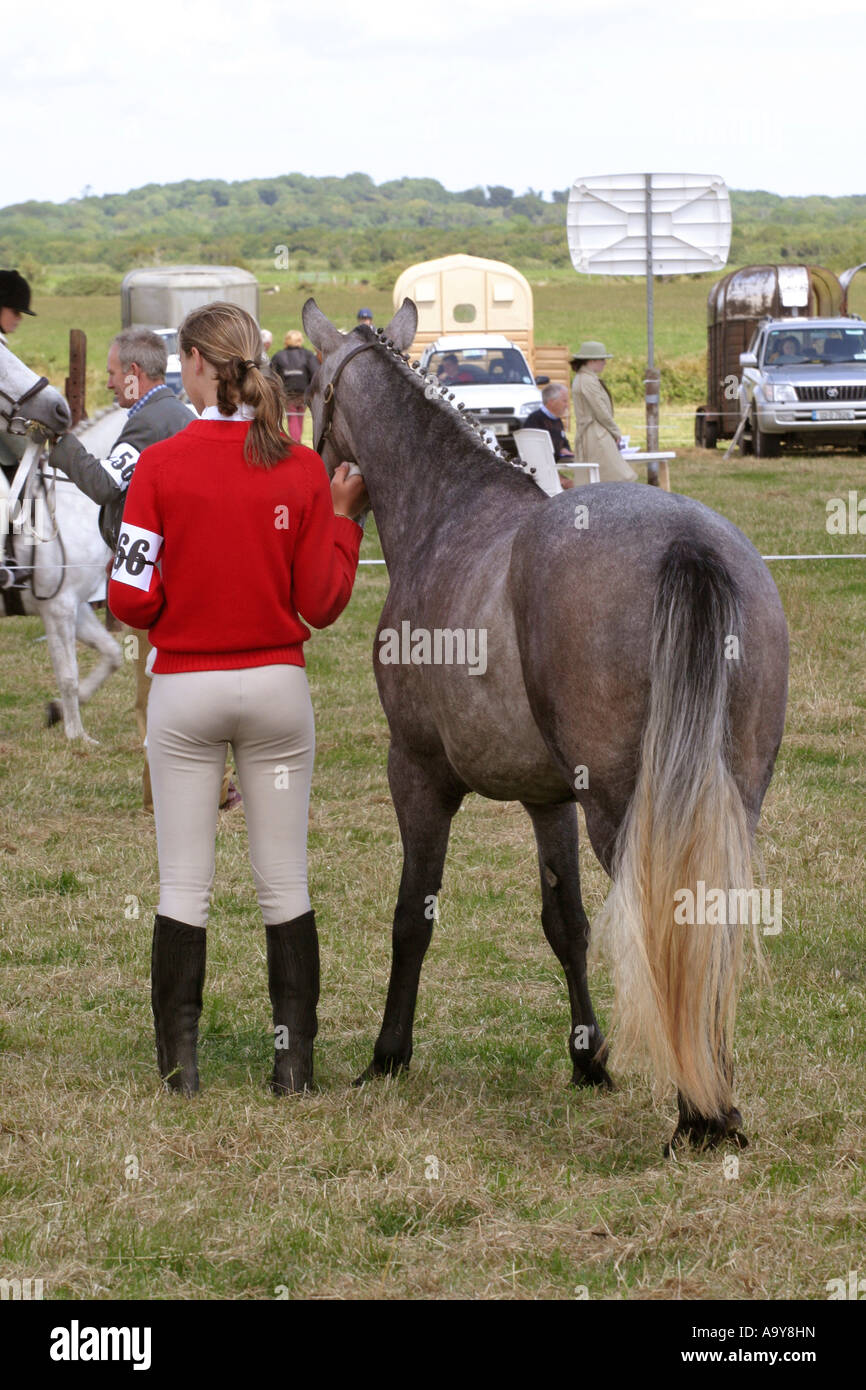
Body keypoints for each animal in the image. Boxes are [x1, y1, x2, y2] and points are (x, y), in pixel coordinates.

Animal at [0, 341, 122, 741]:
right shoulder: (58, 609)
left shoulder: (76, 604)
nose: (60, 409)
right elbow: (67, 675)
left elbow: (112, 653)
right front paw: (76, 736)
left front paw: (59, 713)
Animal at [302, 297, 790, 1154]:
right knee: (713, 926)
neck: (450, 514)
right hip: (729, 800)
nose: (303, 464)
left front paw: (388, 1056)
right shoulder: (548, 798)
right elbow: (566, 924)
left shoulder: (417, 774)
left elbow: (412, 914)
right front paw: (588, 1060)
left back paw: (698, 1110)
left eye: (308, 386)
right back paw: (717, 1104)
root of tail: (689, 543)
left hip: (626, 813)